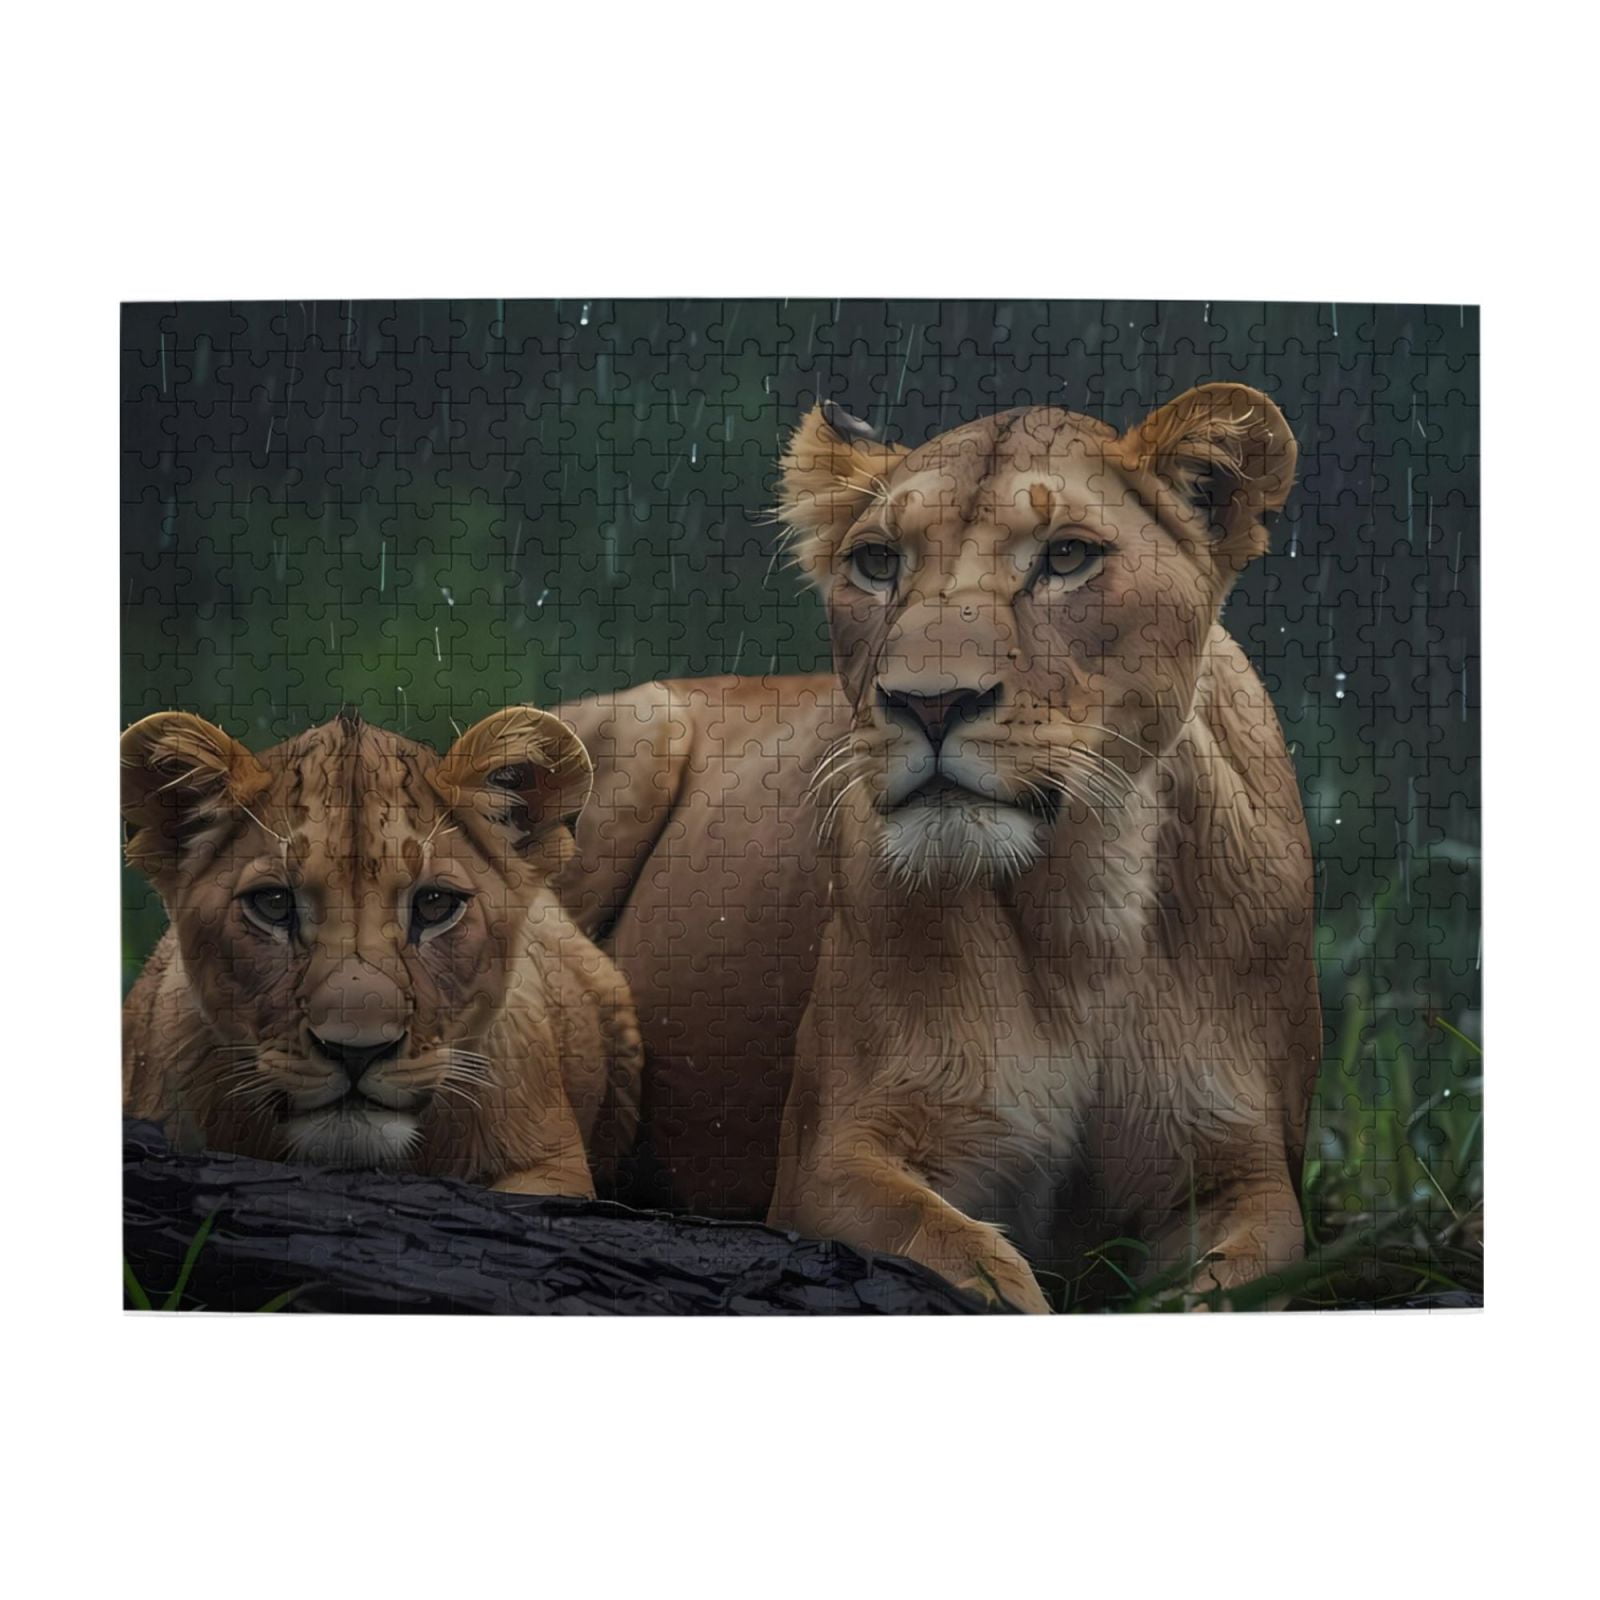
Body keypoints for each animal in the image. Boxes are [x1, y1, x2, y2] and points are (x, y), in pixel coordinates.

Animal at [557, 385, 1319, 1309]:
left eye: (1068, 555)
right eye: (878, 563)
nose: (930, 703)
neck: (1085, 912)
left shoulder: (1243, 1173)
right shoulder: (830, 1159)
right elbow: (964, 1260)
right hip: (645, 727)